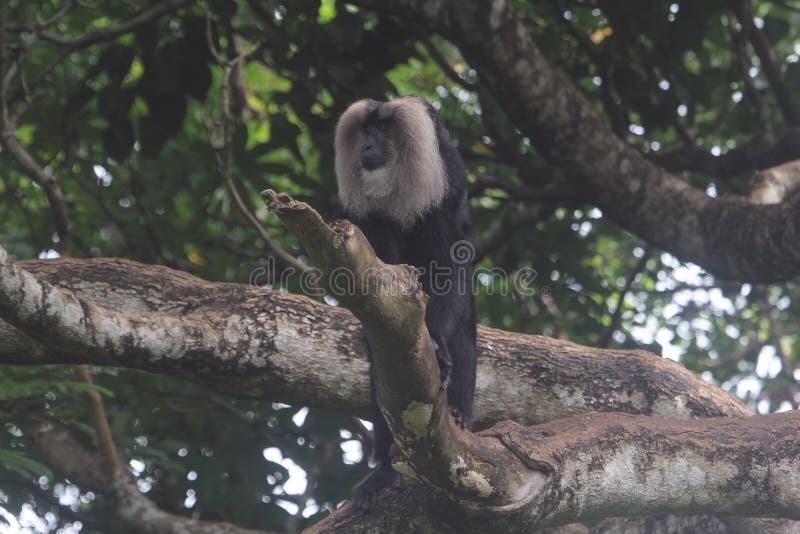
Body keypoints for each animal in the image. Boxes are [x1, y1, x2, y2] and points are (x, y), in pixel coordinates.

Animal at [334, 97, 477, 510]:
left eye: (383, 129)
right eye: (366, 130)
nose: (367, 145)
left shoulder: (448, 187)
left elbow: (449, 264)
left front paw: (438, 348)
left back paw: (458, 413)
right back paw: (384, 466)